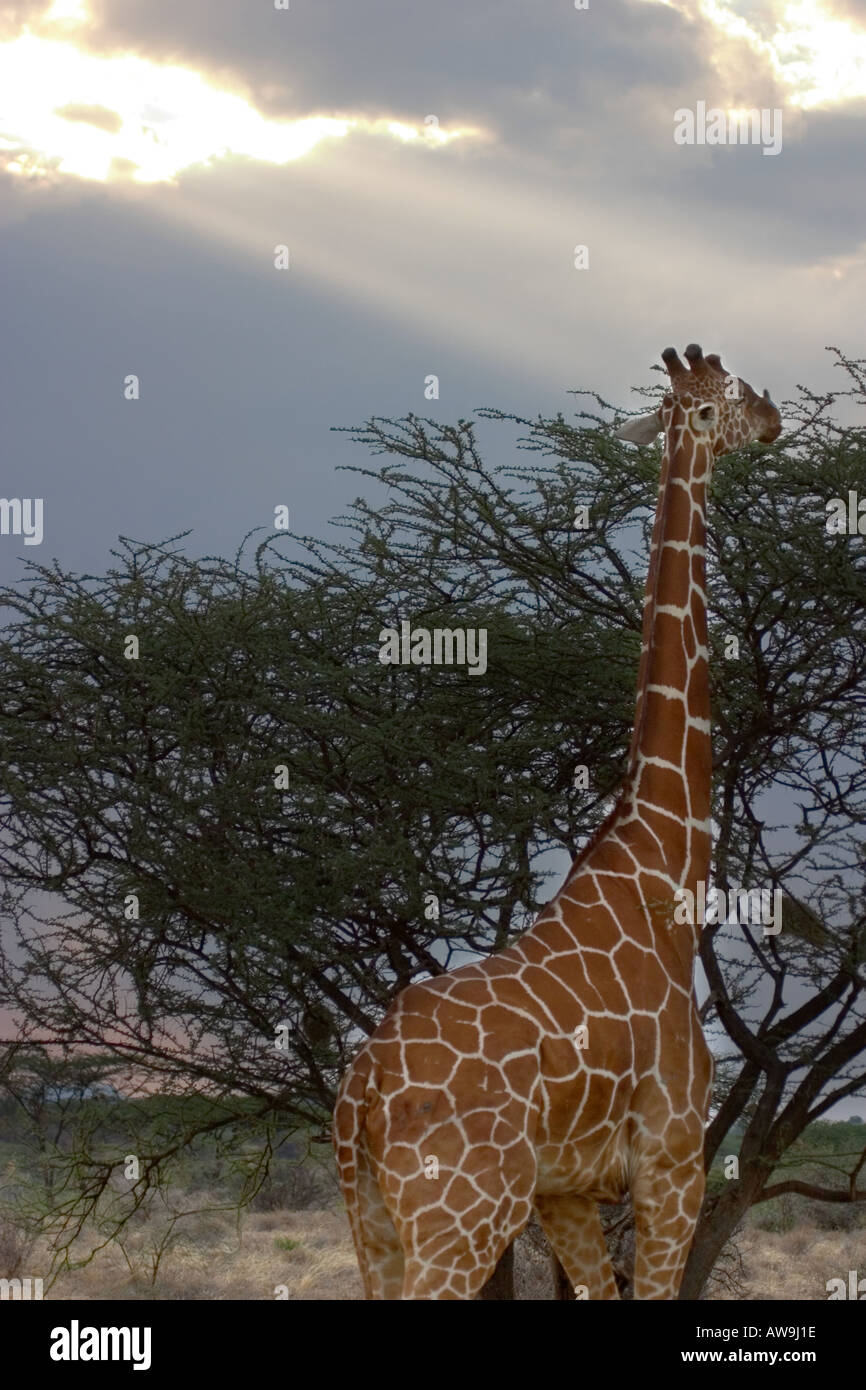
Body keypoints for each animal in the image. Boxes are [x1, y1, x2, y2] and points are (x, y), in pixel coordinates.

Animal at [333, 344, 782, 1300]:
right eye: (727, 393)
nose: (773, 416)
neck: (663, 867)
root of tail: (362, 1089)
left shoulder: (566, 1190)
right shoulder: (673, 1164)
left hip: (373, 1221)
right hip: (461, 1217)